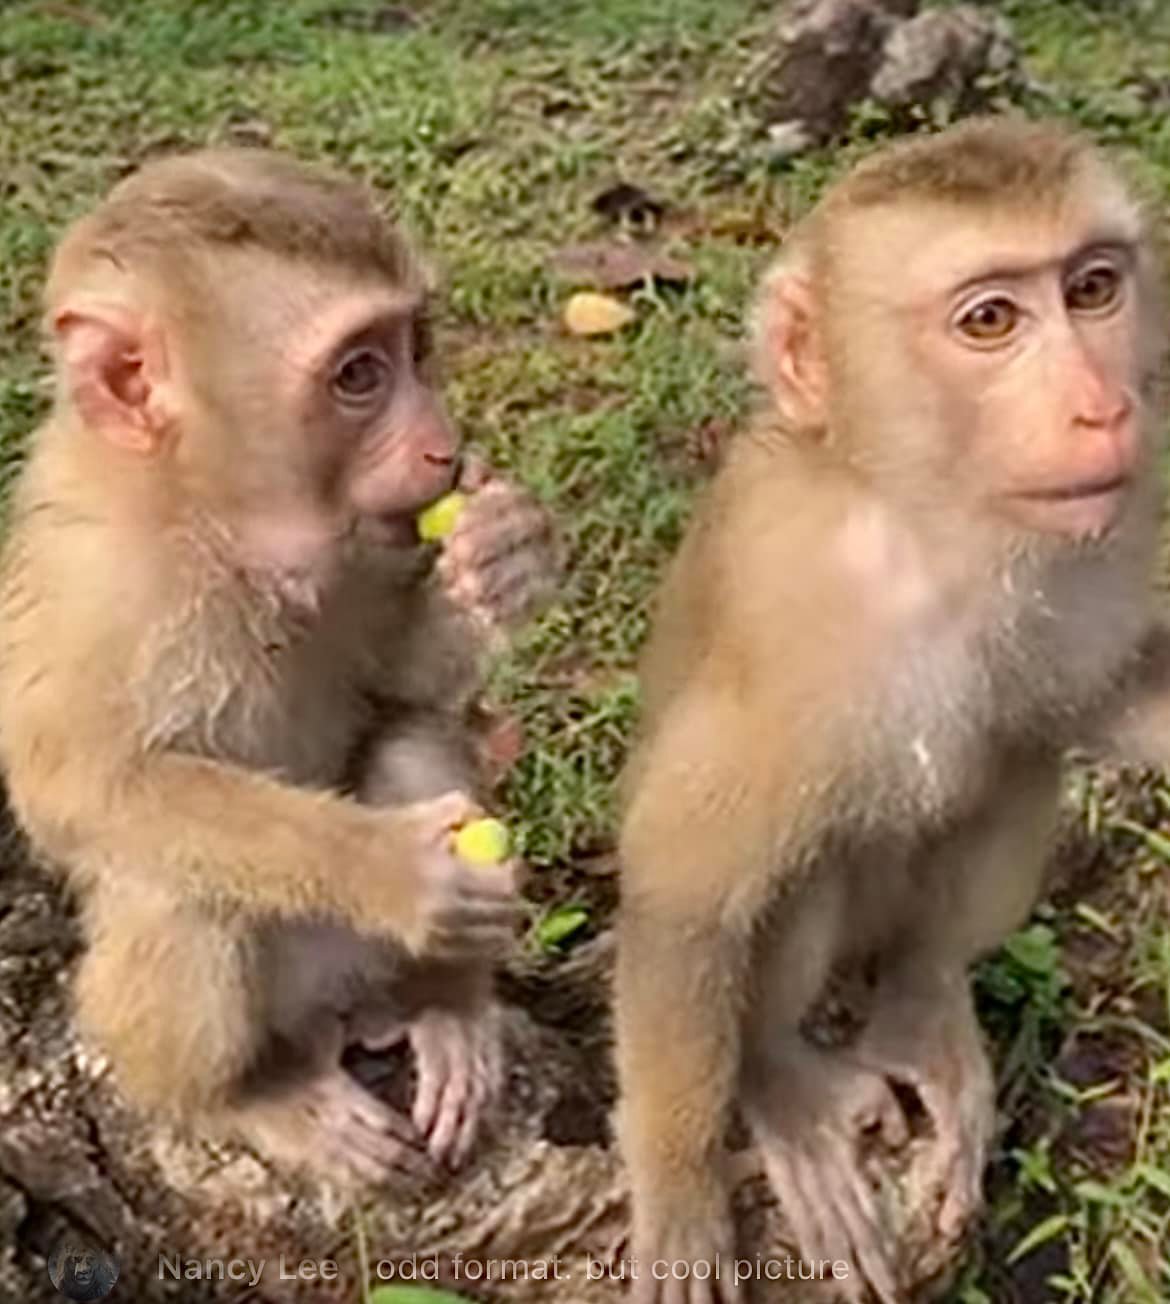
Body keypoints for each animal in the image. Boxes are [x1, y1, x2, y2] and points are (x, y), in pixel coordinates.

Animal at [0, 148, 556, 1186]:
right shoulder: (99, 586)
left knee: (409, 742)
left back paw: (443, 1006)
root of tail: (330, 1008)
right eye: (358, 375)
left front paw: (508, 552)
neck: (215, 524)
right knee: (177, 892)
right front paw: (388, 870)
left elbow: (399, 686)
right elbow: (82, 790)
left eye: (416, 346)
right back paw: (245, 1098)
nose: (446, 449)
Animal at [615, 117, 1167, 1304]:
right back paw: (778, 1073)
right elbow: (684, 885)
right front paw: (678, 1187)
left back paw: (920, 997)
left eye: (1093, 288)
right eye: (990, 321)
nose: (1103, 405)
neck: (924, 526)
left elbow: (1093, 697)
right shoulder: (790, 616)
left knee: (1016, 749)